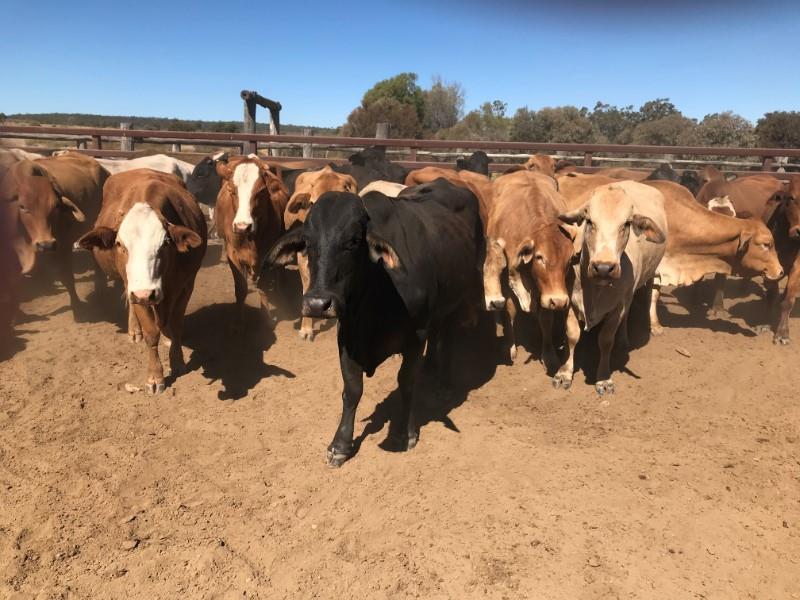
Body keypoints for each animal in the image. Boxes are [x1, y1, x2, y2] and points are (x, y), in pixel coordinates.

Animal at [0, 151, 107, 318]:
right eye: (22, 207)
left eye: (56, 205)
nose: (46, 244)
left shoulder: (63, 245)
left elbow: (66, 276)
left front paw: (77, 306)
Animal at [77, 169, 206, 394]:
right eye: (119, 244)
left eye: (165, 243)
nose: (146, 294)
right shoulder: (137, 292)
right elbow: (151, 333)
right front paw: (155, 377)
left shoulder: (185, 286)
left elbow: (176, 325)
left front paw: (177, 359)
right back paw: (134, 331)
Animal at [215, 155, 289, 329]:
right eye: (231, 191)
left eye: (261, 191)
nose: (242, 226)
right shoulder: (233, 255)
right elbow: (241, 288)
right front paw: (238, 323)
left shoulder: (268, 254)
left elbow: (264, 286)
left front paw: (267, 318)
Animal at [483, 170, 576, 367]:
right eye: (539, 257)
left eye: (570, 259)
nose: (560, 301)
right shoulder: (509, 277)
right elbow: (510, 311)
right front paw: (510, 347)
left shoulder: (545, 293)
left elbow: (546, 319)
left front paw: (549, 354)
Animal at [556, 181, 668, 394]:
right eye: (589, 221)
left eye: (626, 224)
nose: (603, 267)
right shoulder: (570, 303)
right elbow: (572, 336)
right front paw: (564, 373)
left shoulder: (617, 307)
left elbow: (606, 340)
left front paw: (603, 378)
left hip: (647, 276)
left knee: (644, 299)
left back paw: (627, 337)